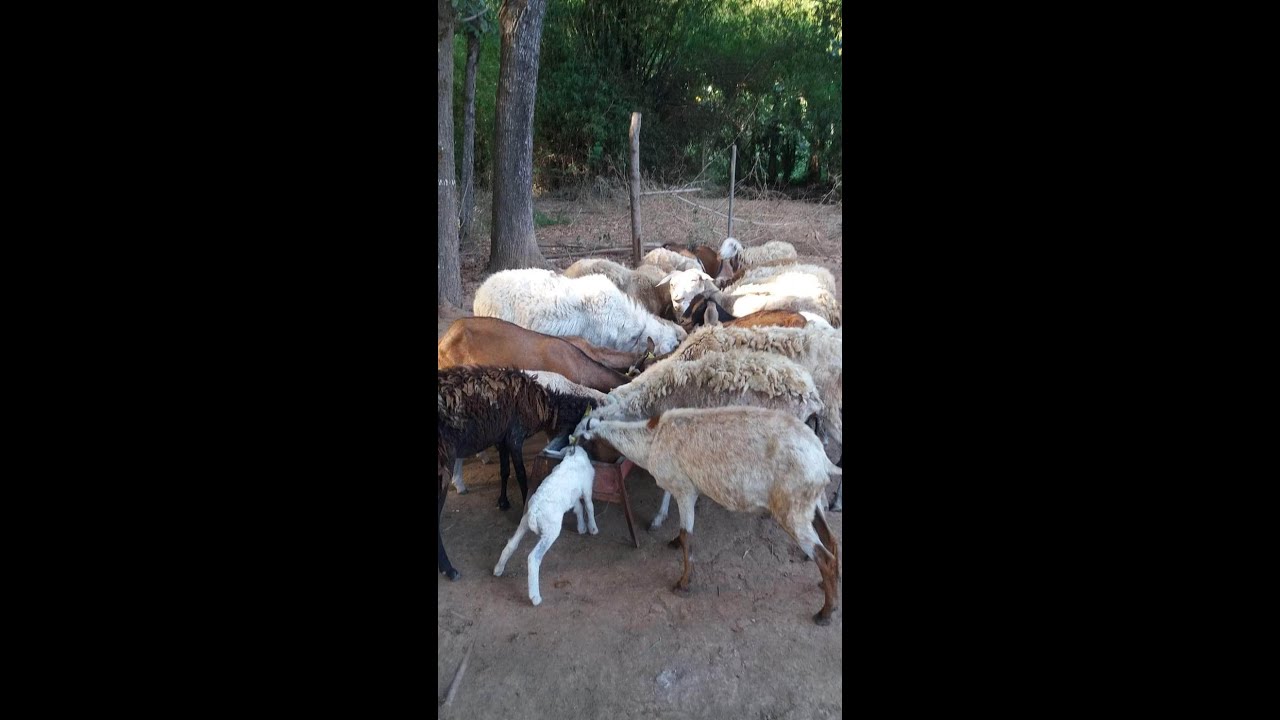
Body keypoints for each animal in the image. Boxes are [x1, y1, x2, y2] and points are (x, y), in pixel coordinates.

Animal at [493, 441, 598, 606]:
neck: (572, 456)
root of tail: (534, 511)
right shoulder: (587, 488)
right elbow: (588, 506)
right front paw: (593, 528)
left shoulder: (573, 496)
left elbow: (578, 508)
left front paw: (581, 527)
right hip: (550, 531)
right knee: (533, 558)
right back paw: (535, 597)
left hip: (524, 522)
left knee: (511, 544)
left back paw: (498, 569)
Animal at [574, 406, 842, 625]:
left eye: (583, 442)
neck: (651, 439)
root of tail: (823, 460)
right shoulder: (686, 488)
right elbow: (681, 530)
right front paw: (673, 541)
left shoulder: (685, 489)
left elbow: (687, 536)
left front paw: (683, 583)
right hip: (811, 503)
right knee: (831, 539)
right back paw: (827, 585)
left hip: (792, 510)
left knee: (824, 557)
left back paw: (825, 613)